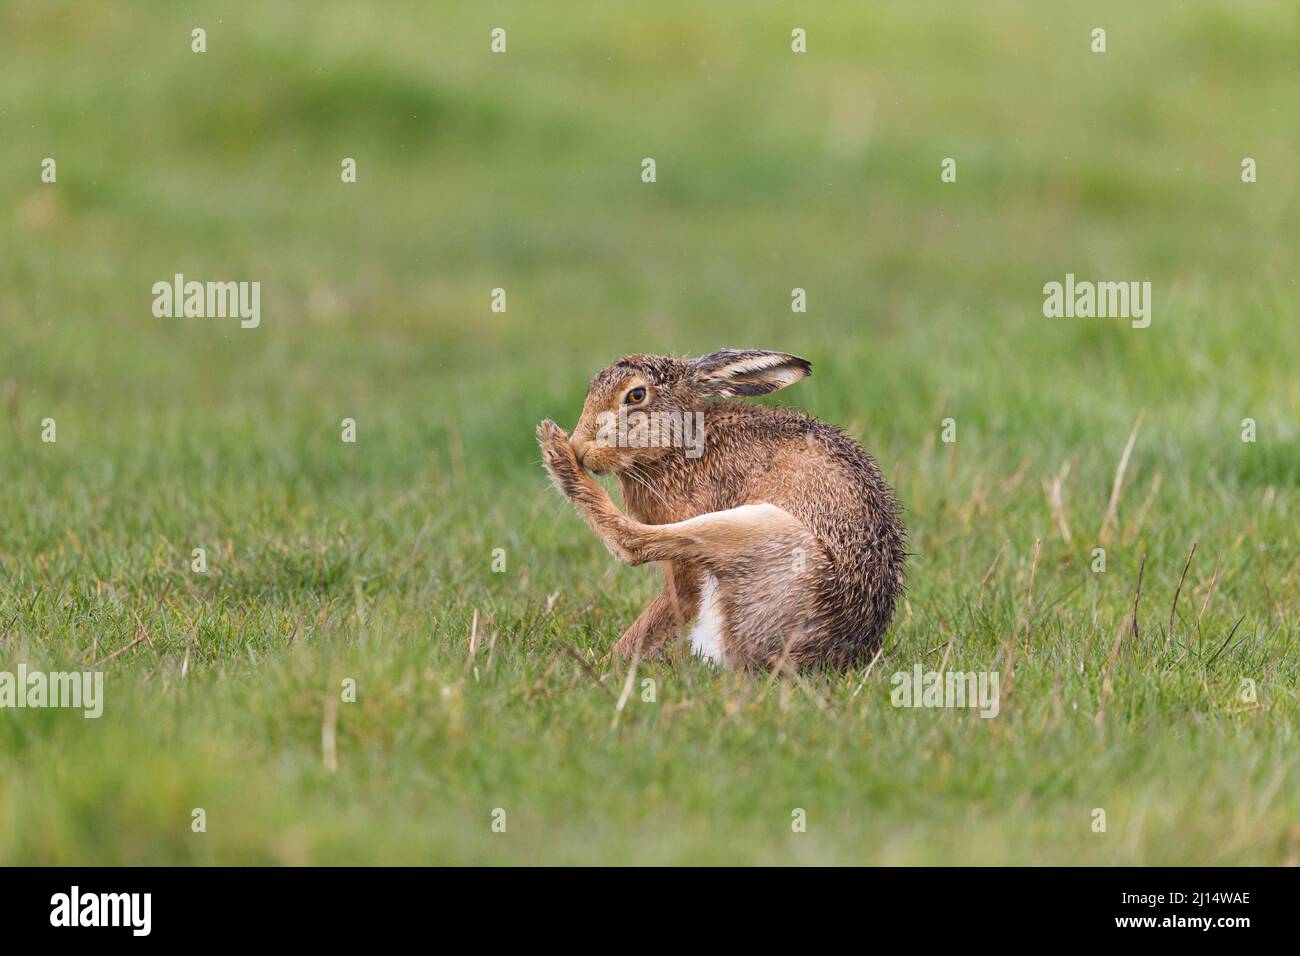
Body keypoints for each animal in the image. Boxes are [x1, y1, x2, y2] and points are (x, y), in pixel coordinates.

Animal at [536, 349, 905, 671]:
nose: (581, 448)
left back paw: (556, 453)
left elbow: (675, 597)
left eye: (636, 395)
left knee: (630, 543)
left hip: (756, 531)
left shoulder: (687, 563)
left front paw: (612, 661)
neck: (679, 444)